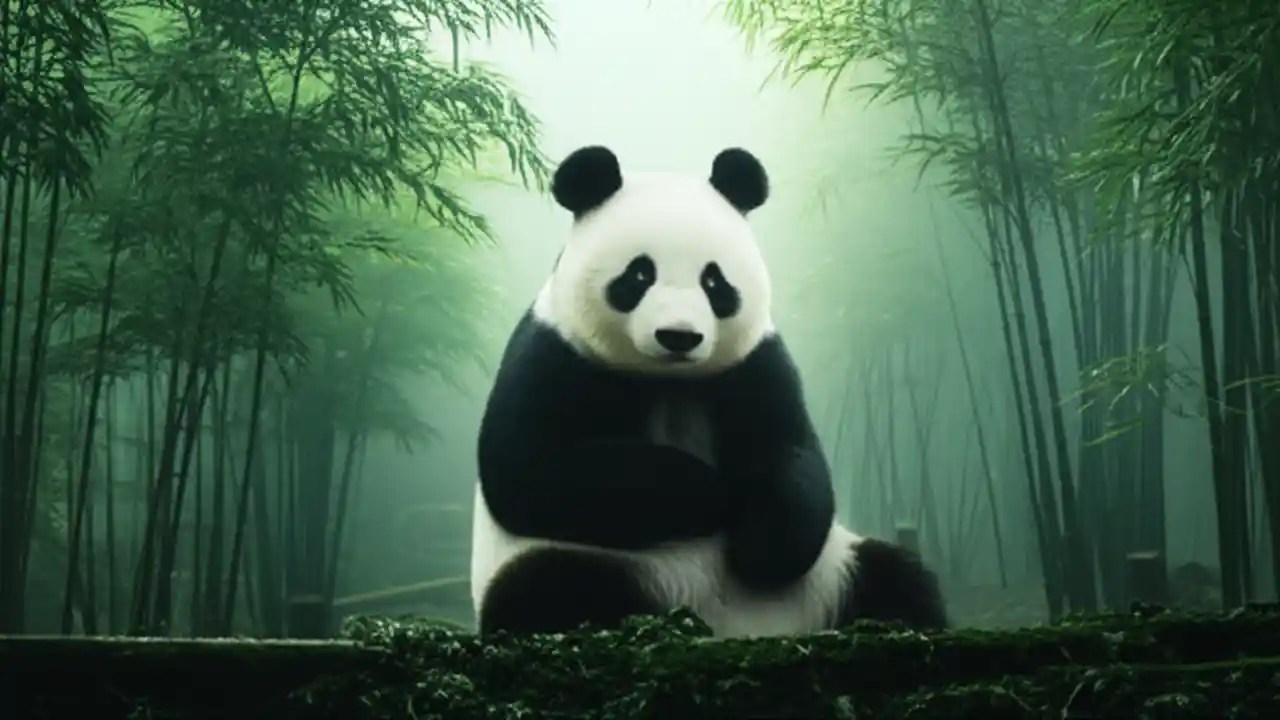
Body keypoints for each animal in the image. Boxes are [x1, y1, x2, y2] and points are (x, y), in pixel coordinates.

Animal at [469, 145, 947, 638]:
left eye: (714, 281)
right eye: (638, 276)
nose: (678, 336)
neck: (669, 379)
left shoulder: (756, 363)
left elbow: (793, 456)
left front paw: (762, 546)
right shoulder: (554, 352)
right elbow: (529, 470)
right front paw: (717, 492)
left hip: (831, 574)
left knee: (893, 576)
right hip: (603, 566)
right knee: (548, 588)